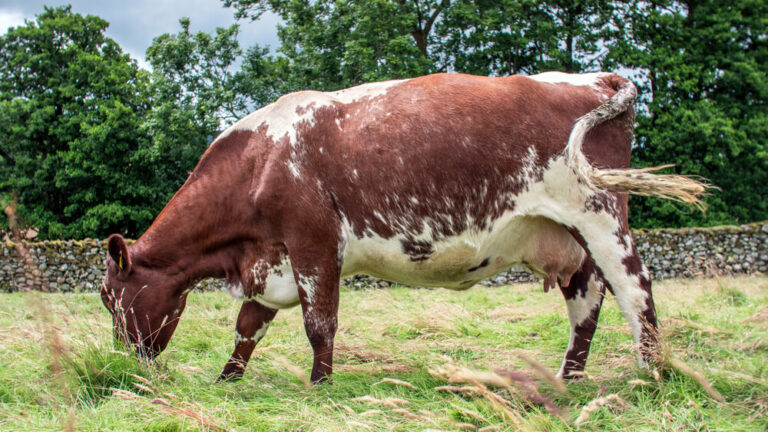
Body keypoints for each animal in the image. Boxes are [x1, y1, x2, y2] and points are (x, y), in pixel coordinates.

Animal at [100, 72, 707, 384]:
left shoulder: (313, 242)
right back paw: (569, 380)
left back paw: (654, 374)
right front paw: (227, 381)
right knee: (587, 304)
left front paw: (320, 387)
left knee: (635, 291)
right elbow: (248, 327)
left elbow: (319, 324)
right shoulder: (269, 260)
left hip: (599, 213)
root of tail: (597, 76)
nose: (125, 364)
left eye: (108, 297)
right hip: (568, 237)